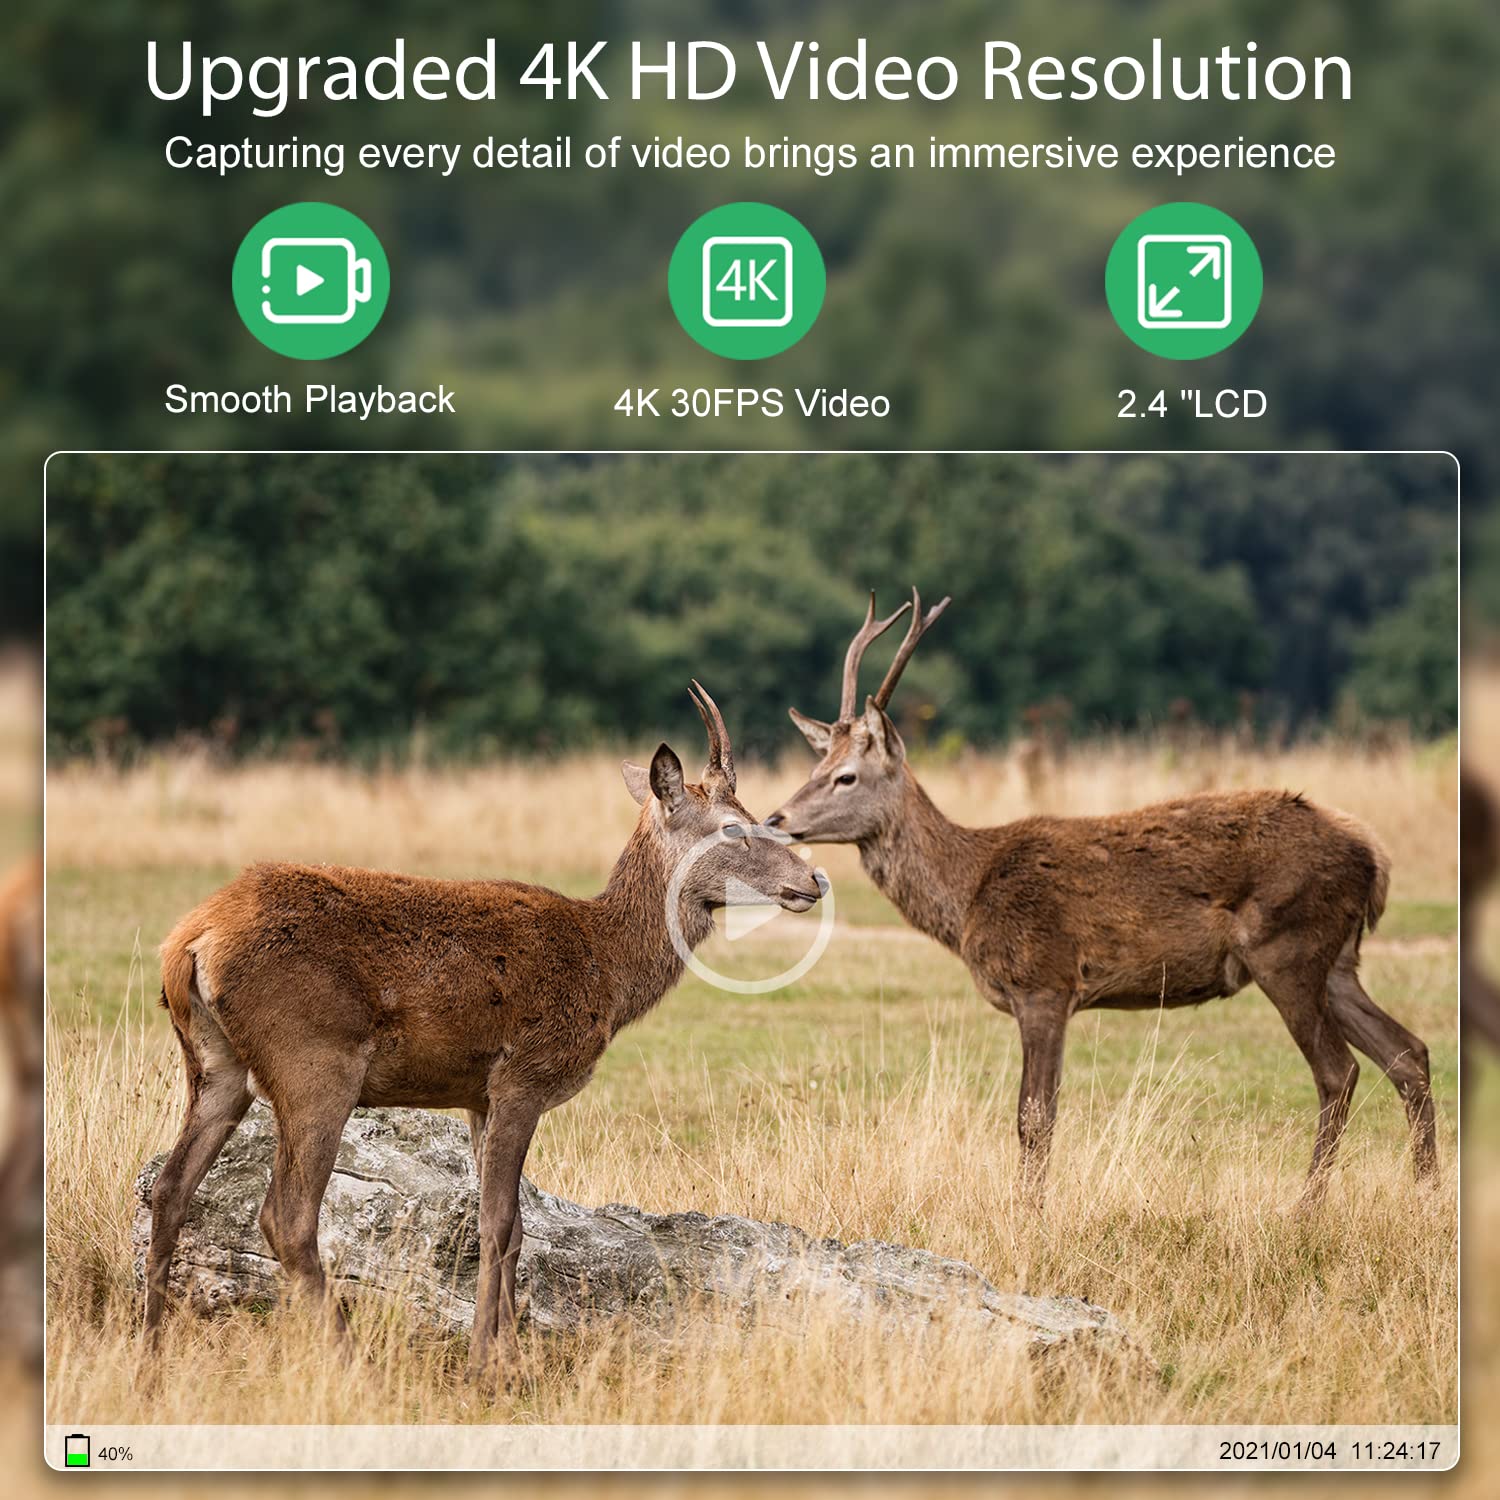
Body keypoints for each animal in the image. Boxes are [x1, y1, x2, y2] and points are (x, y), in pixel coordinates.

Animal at [144, 683, 824, 1386]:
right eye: (733, 825)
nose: (814, 880)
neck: (607, 974)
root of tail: (190, 942)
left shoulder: (477, 1094)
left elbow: (517, 1227)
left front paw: (509, 1354)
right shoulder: (524, 1075)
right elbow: (496, 1223)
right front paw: (484, 1366)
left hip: (216, 1065)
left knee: (170, 1188)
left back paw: (150, 1360)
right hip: (314, 1060)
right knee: (286, 1216)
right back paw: (355, 1361)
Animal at [765, 590, 1438, 1204]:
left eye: (845, 776)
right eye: (815, 766)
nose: (776, 818)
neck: (969, 896)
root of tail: (1374, 856)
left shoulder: (1044, 981)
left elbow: (1034, 1118)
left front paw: (1029, 1214)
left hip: (1287, 946)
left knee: (1339, 1070)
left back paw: (1307, 1207)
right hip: (1338, 959)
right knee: (1409, 1053)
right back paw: (1426, 1192)